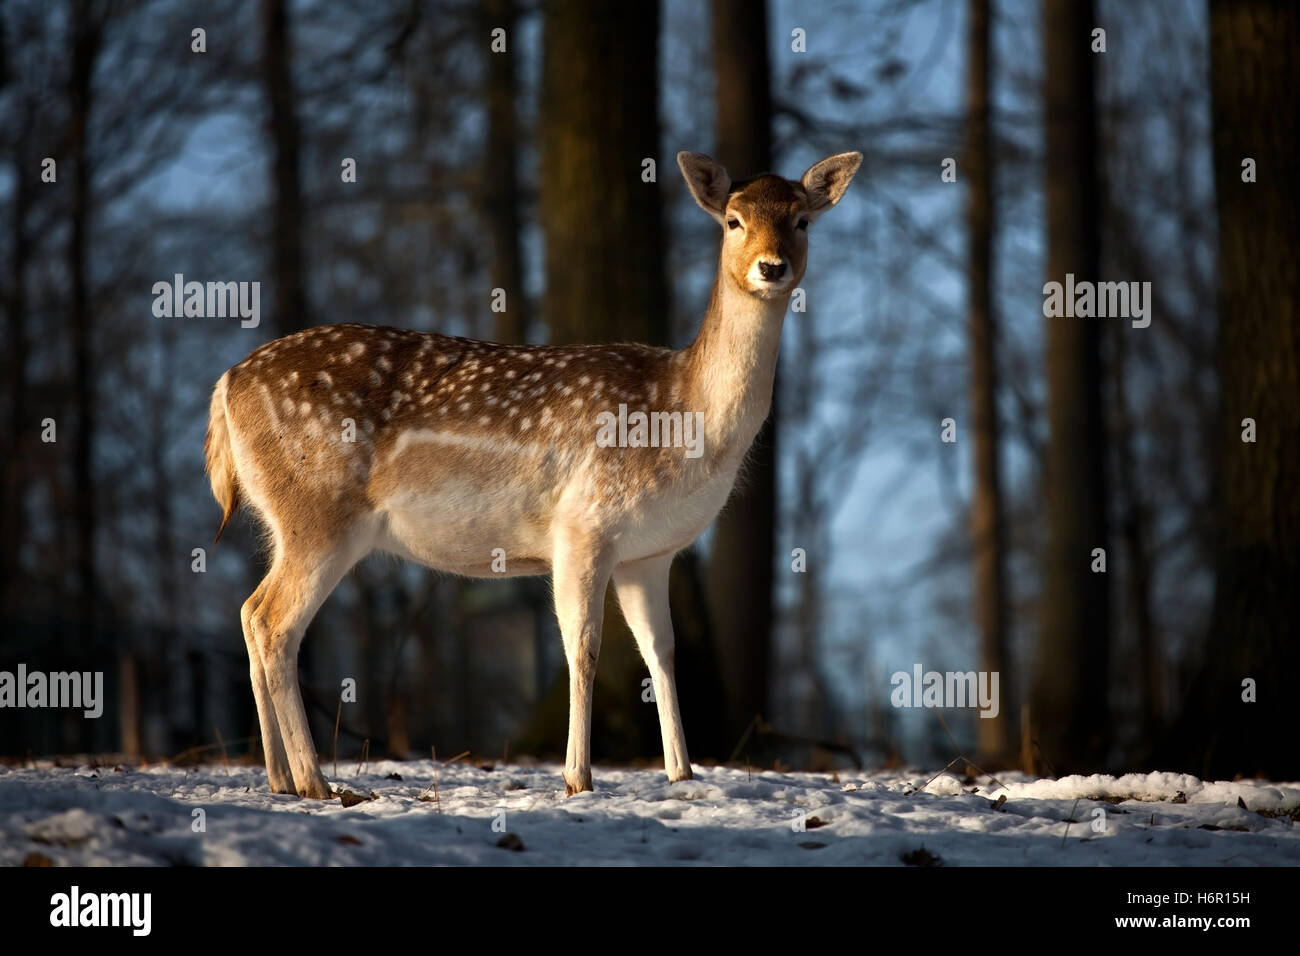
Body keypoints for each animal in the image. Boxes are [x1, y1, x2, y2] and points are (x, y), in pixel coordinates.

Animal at [205, 150, 861, 798]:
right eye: (733, 220)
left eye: (802, 220)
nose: (772, 267)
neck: (684, 419)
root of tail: (225, 386)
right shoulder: (583, 524)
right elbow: (585, 646)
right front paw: (578, 778)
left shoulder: (651, 553)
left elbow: (663, 653)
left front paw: (683, 773)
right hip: (318, 512)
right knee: (274, 622)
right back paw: (316, 781)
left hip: (285, 519)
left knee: (248, 612)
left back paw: (278, 779)